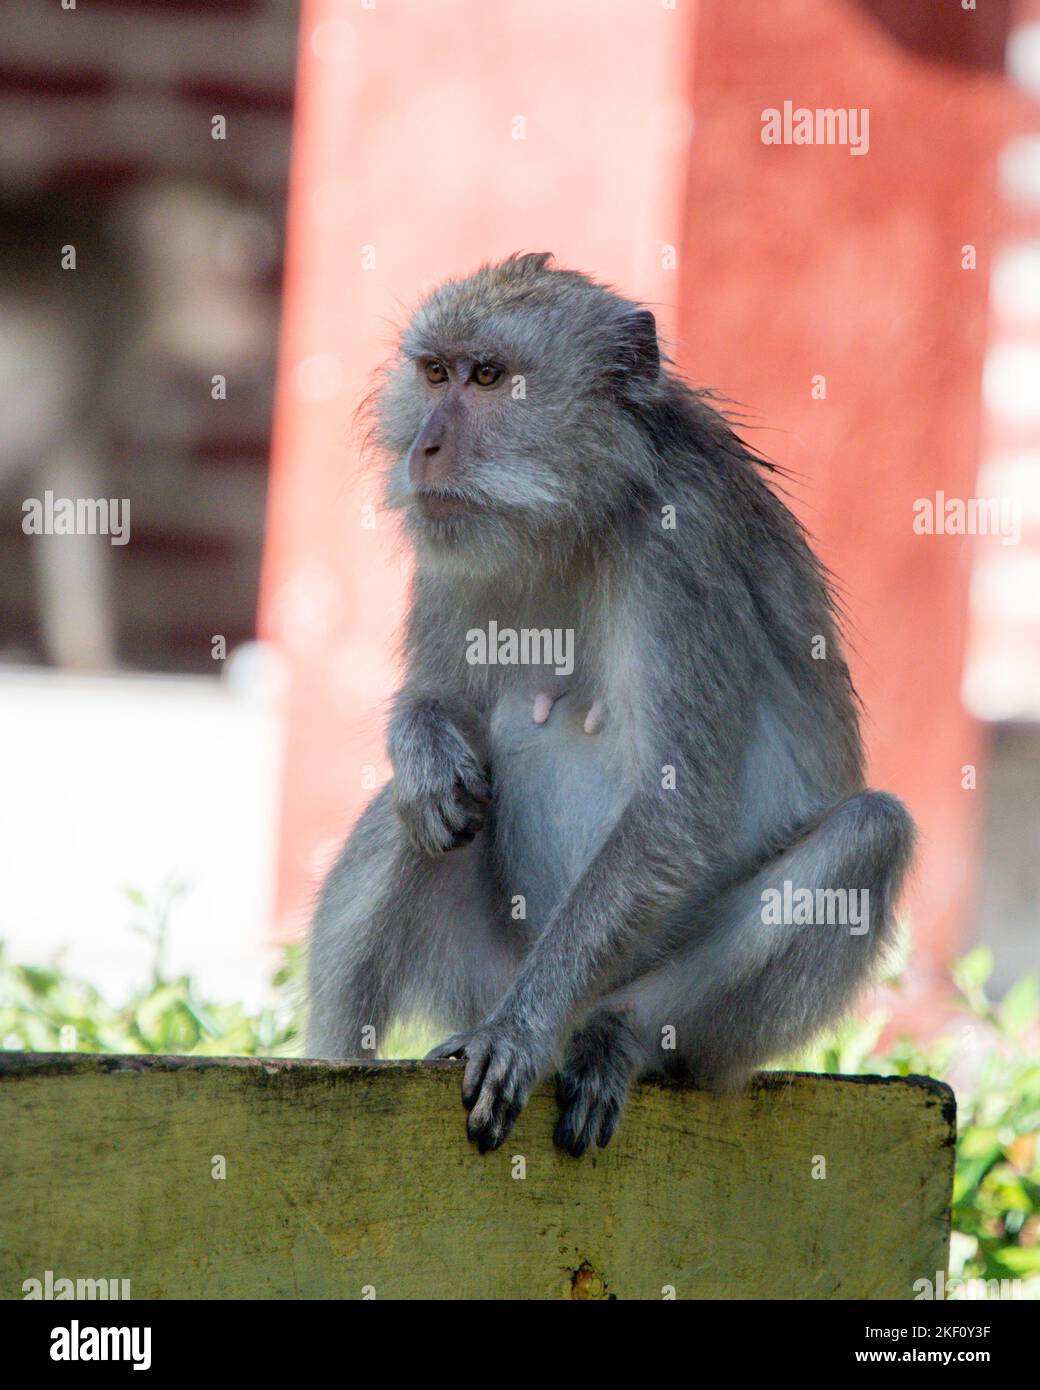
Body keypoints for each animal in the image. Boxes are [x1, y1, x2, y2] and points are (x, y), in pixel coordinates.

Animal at [307, 252, 916, 1157]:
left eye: (489, 378)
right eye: (435, 373)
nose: (425, 446)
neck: (575, 513)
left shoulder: (679, 549)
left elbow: (676, 815)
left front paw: (518, 1031)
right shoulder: (449, 546)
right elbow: (439, 706)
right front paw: (423, 748)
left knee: (872, 834)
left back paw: (612, 1038)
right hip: (479, 968)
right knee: (411, 816)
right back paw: (333, 1064)